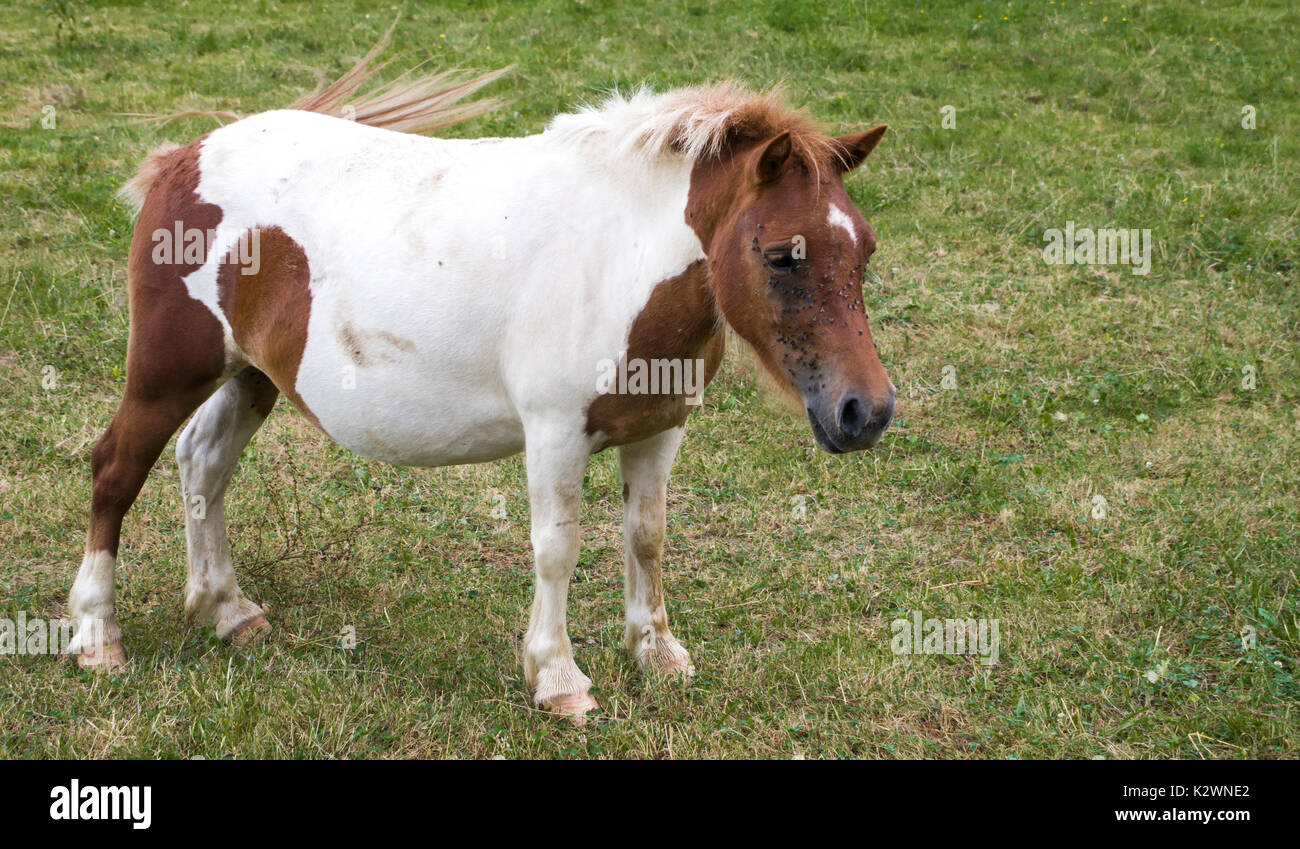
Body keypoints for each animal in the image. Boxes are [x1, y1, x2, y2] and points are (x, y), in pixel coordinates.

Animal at [68, 46, 895, 720]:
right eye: (781, 254)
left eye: (865, 249)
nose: (867, 411)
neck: (615, 253)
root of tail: (184, 156)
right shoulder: (556, 433)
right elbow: (557, 547)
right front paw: (558, 678)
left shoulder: (660, 426)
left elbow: (648, 535)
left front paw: (657, 653)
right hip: (168, 370)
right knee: (116, 469)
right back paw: (96, 635)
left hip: (248, 373)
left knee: (203, 462)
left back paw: (226, 608)